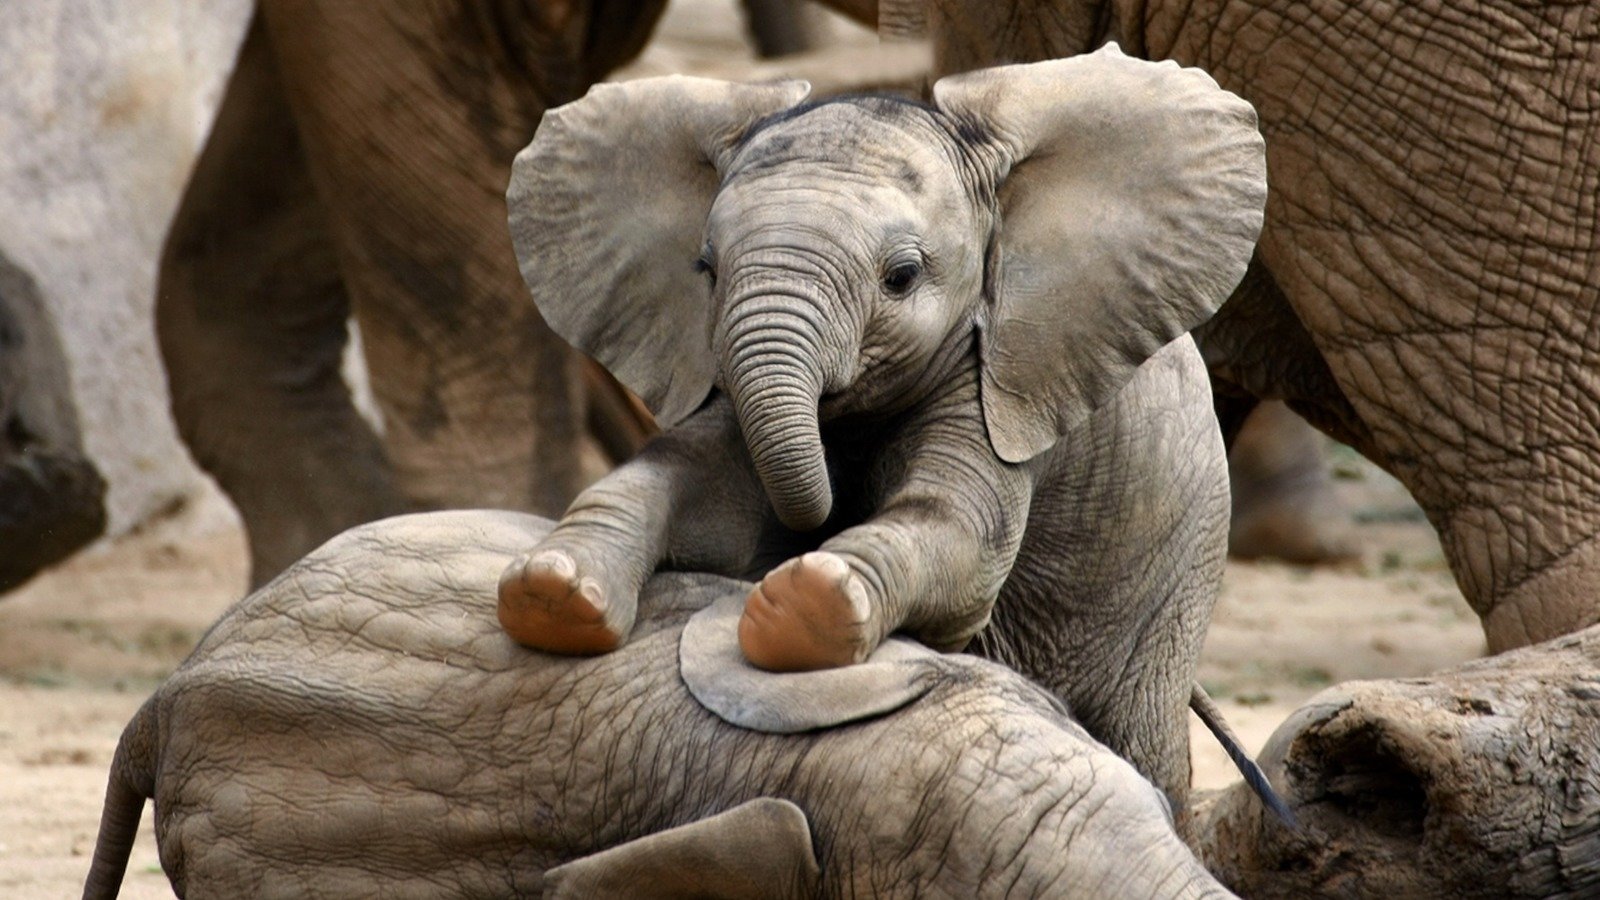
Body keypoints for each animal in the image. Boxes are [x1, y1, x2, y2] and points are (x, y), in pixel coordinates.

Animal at [494, 46, 1267, 809]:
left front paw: (802, 605)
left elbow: (960, 536)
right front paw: (549, 592)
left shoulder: (1002, 379)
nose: (824, 514)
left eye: (901, 277)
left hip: (1179, 570)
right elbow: (694, 486)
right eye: (705, 271)